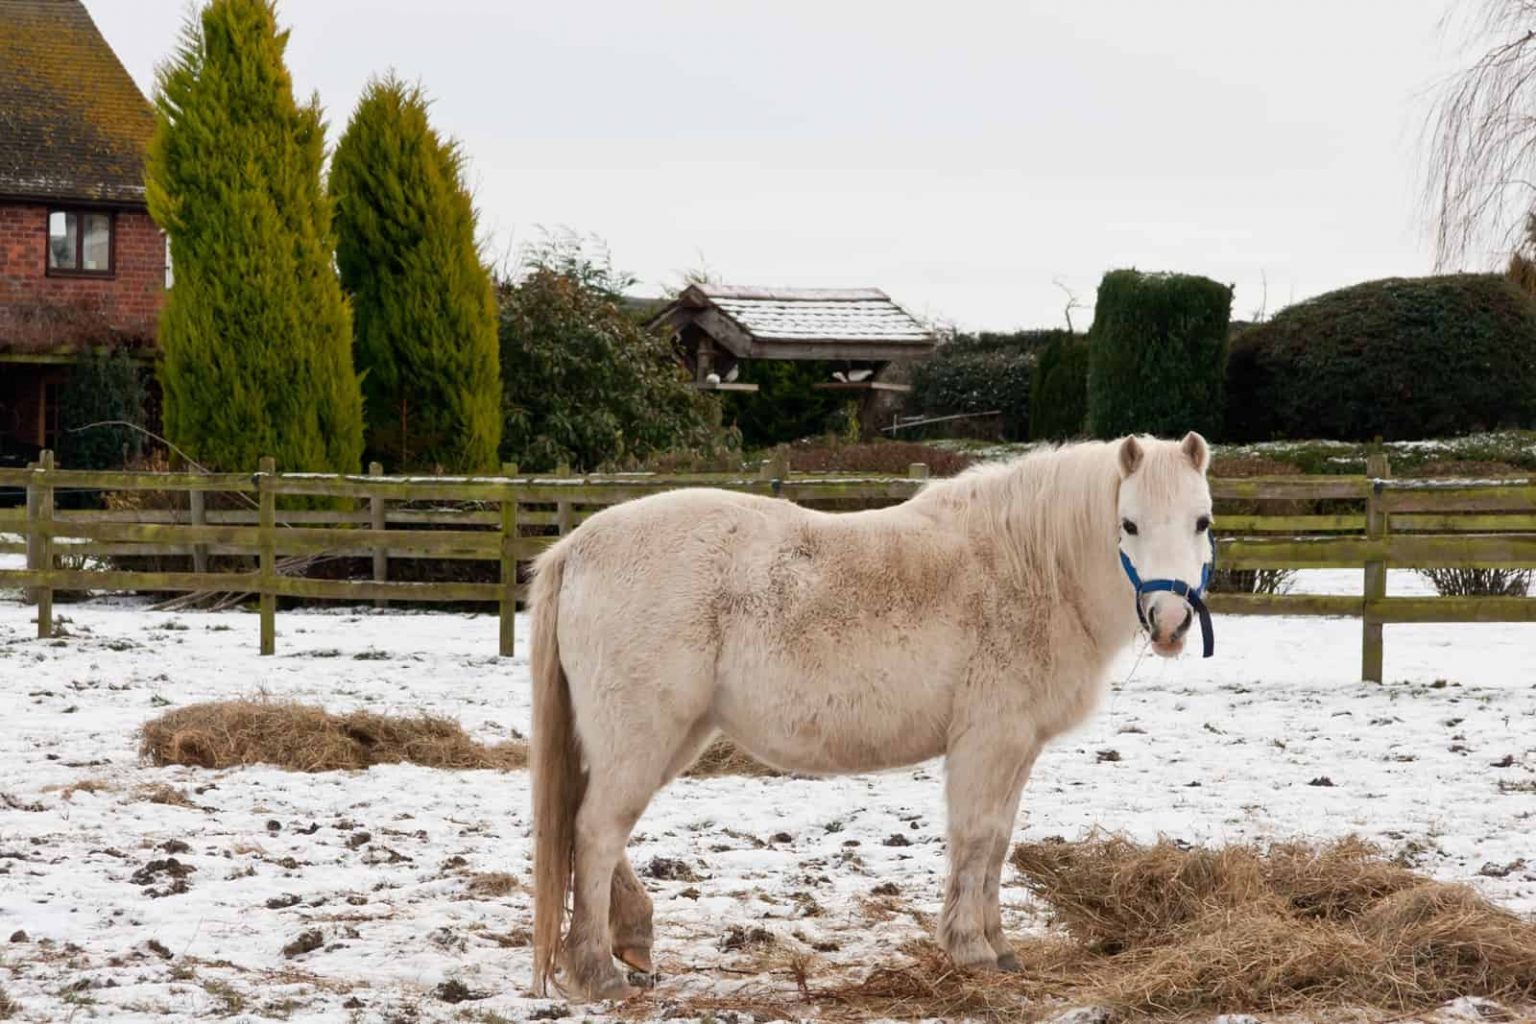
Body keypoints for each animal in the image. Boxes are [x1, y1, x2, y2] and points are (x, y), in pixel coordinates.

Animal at [529, 432, 1216, 1000]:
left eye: (1202, 521)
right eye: (1128, 524)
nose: (1171, 622)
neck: (1029, 567)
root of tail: (579, 545)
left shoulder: (1018, 747)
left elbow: (997, 843)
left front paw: (999, 947)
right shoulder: (988, 741)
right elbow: (975, 839)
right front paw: (971, 950)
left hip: (670, 736)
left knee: (591, 823)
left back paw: (632, 942)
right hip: (642, 735)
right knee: (596, 831)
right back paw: (596, 972)